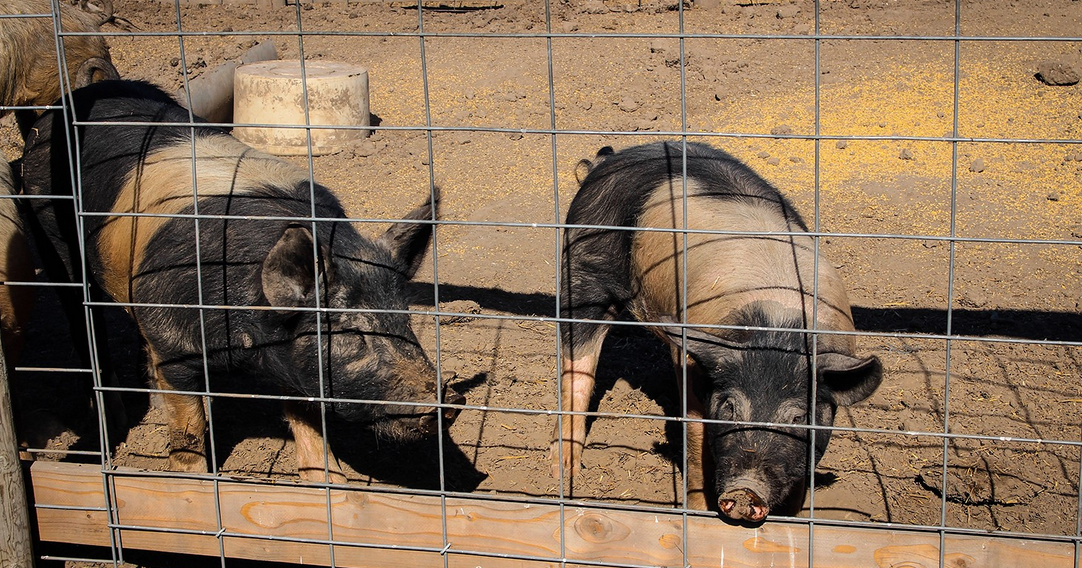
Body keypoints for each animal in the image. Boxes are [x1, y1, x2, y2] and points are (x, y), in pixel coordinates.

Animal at [20, 79, 462, 482]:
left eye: (405, 319)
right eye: (349, 332)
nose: (447, 401)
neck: (244, 341)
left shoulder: (292, 359)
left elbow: (307, 418)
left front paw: (330, 482)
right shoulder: (171, 334)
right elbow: (189, 424)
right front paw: (191, 482)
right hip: (53, 239)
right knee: (85, 327)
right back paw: (115, 415)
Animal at [551, 141, 881, 523]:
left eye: (798, 416)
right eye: (730, 407)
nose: (745, 491)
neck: (777, 323)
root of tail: (608, 160)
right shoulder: (694, 359)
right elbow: (695, 434)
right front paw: (699, 513)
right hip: (582, 268)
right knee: (578, 362)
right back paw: (562, 469)